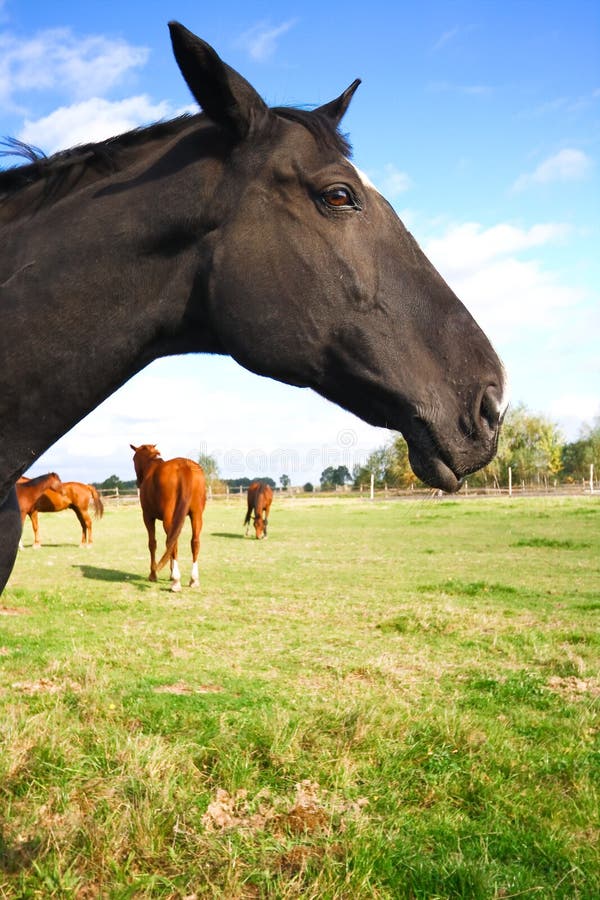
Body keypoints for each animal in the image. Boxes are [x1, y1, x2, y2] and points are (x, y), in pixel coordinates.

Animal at [131, 444, 206, 591]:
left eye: (134, 459)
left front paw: (153, 574)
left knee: (172, 543)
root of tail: (184, 466)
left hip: (168, 518)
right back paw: (193, 580)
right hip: (196, 516)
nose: (137, 482)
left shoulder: (148, 517)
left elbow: (152, 543)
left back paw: (176, 582)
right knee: (194, 542)